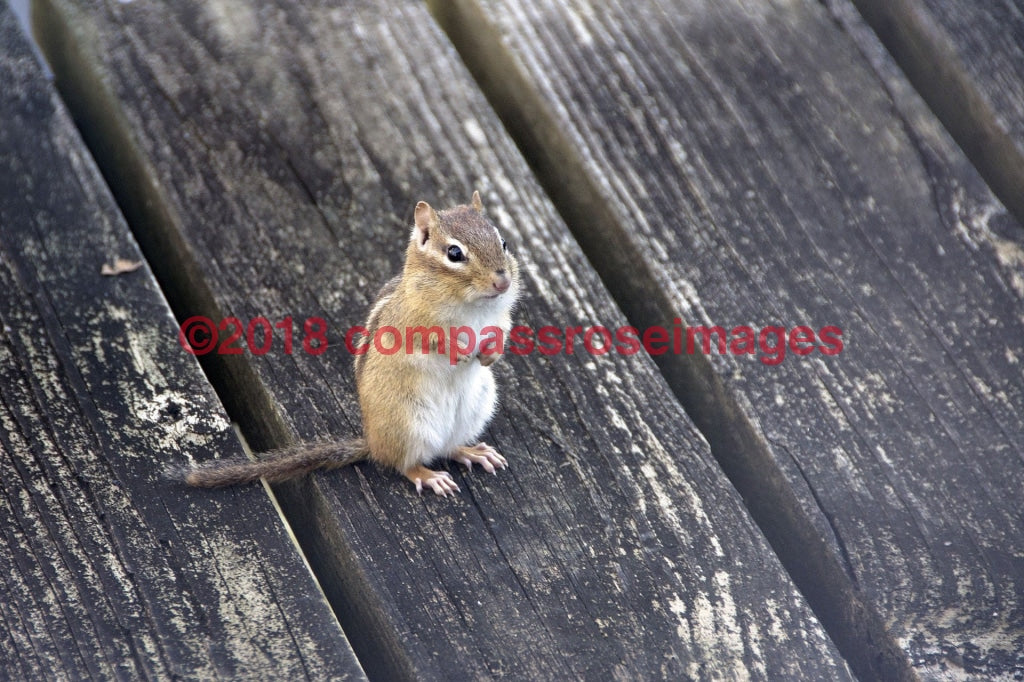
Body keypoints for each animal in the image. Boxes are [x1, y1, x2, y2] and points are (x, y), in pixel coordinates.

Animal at [184, 192, 520, 496]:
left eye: (503, 242)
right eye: (454, 253)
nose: (502, 281)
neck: (472, 306)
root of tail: (372, 442)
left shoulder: (499, 316)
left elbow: (502, 330)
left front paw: (491, 353)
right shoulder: (412, 322)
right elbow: (432, 340)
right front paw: (459, 350)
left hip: (477, 407)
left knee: (448, 448)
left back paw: (472, 452)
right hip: (408, 423)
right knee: (404, 464)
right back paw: (429, 476)